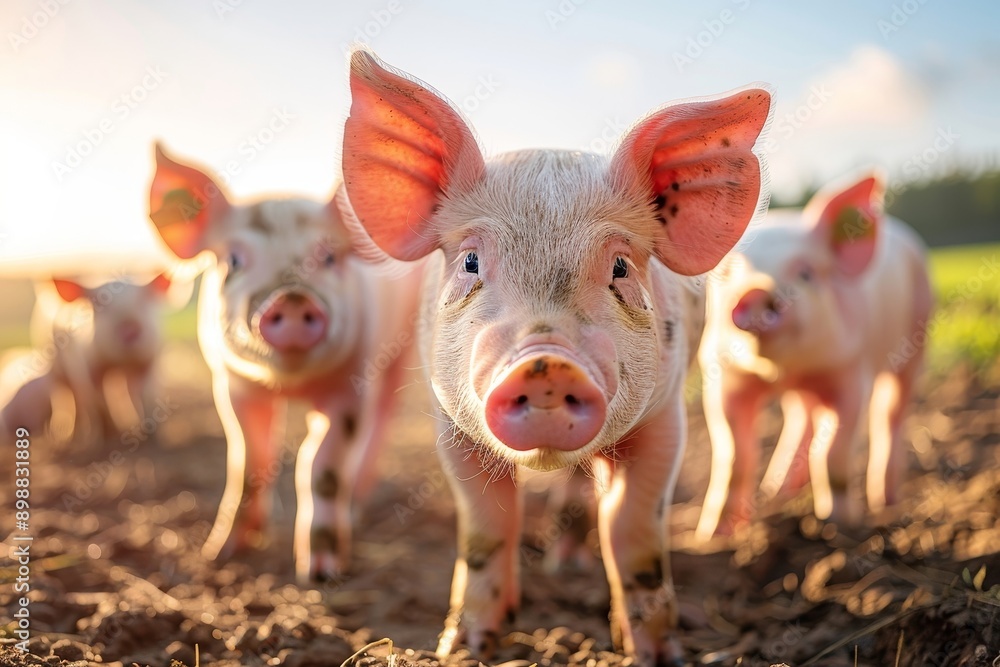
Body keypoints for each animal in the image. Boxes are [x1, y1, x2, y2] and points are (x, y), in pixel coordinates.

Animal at [146, 144, 422, 580]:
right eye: (233, 260)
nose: (292, 298)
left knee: (380, 420)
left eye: (330, 256)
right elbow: (248, 460)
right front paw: (220, 554)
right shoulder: (233, 385)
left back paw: (356, 510)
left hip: (400, 351)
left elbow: (321, 469)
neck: (291, 384)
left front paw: (321, 573)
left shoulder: (350, 386)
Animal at [338, 49, 772, 665]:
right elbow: (486, 527)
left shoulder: (665, 420)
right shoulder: (453, 428)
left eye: (620, 266)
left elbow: (634, 534)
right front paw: (465, 647)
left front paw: (656, 655)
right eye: (470, 261)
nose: (545, 364)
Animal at [694, 173, 933, 541]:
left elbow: (834, 451)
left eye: (806, 274)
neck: (783, 370)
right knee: (801, 418)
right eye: (729, 273)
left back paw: (884, 501)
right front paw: (711, 536)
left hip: (914, 346)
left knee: (889, 415)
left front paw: (839, 524)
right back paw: (778, 493)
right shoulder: (723, 375)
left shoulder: (851, 373)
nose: (755, 291)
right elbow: (734, 456)